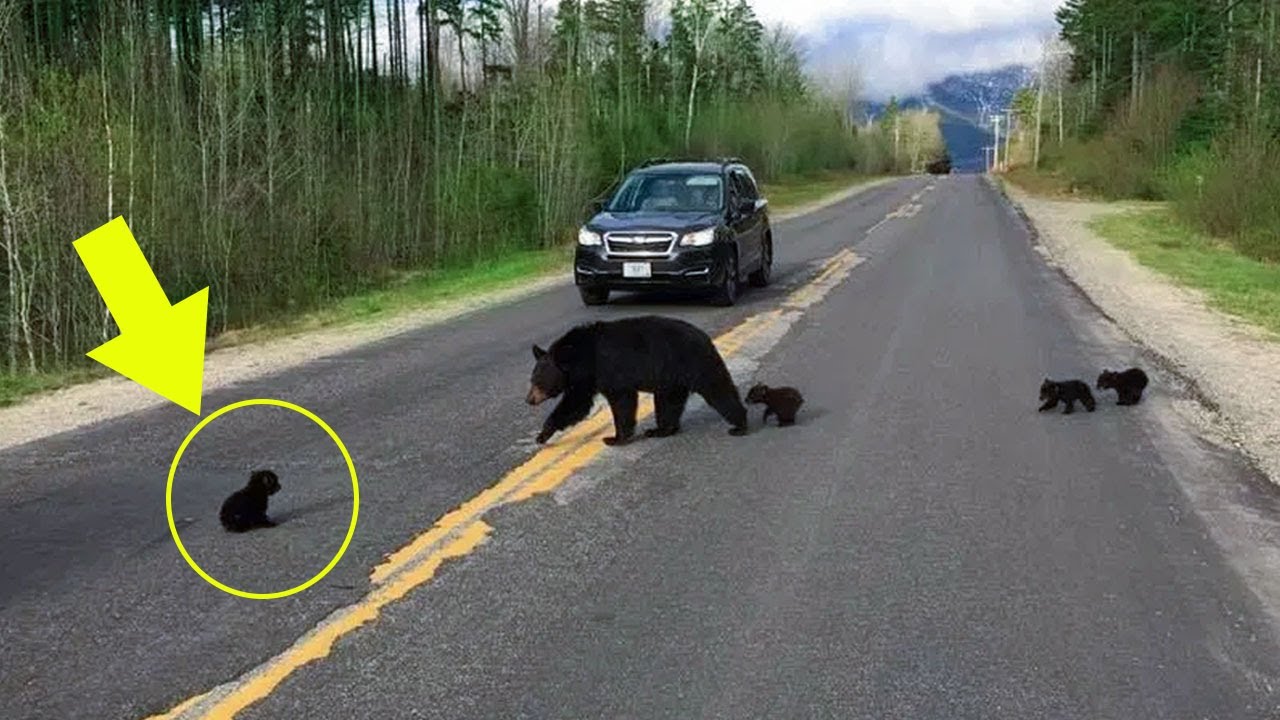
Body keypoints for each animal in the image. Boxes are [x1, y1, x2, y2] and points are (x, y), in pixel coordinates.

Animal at [527, 316, 750, 447]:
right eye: (532, 379)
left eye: (537, 380)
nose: (529, 399)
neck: (583, 356)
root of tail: (705, 337)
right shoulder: (587, 378)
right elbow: (577, 405)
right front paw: (543, 434)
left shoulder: (608, 369)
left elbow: (619, 401)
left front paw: (614, 438)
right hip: (671, 378)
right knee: (669, 403)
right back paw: (660, 430)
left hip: (695, 363)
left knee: (718, 389)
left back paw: (740, 425)